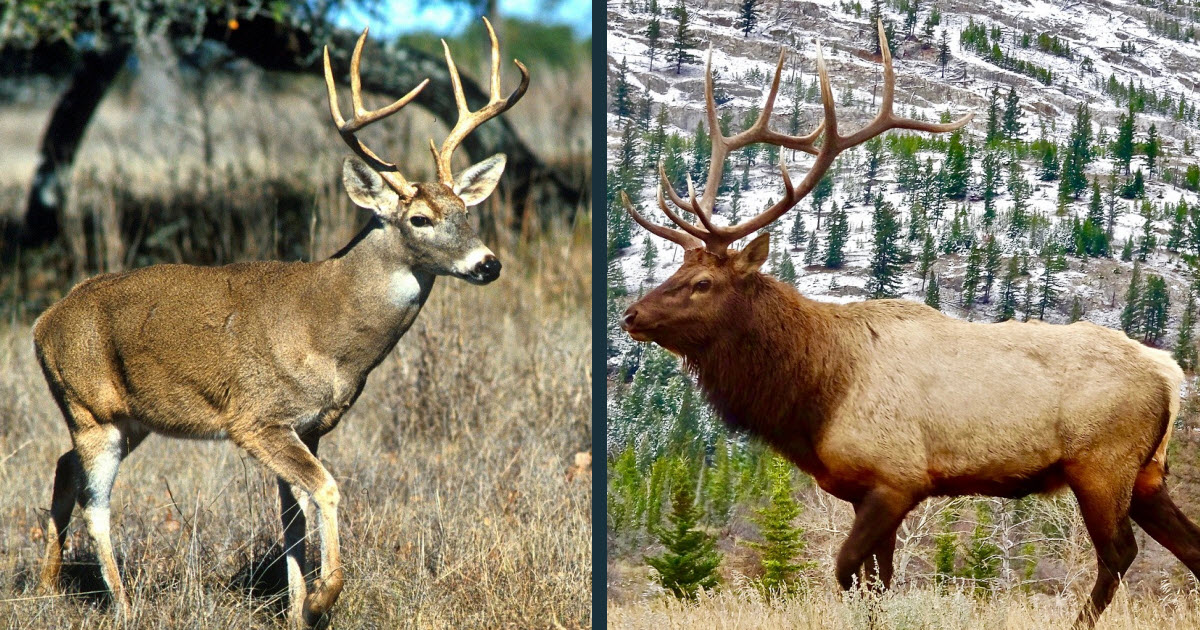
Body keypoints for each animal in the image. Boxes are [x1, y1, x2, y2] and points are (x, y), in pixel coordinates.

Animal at [32, 18, 527, 628]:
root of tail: (43, 323)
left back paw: (47, 588)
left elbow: (293, 517)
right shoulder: (256, 418)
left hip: (129, 418)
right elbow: (327, 491)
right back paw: (123, 605)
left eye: (466, 212)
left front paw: (294, 608)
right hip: (91, 408)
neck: (327, 333)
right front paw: (321, 597)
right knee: (95, 504)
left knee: (63, 468)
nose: (488, 264)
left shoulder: (308, 425)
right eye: (419, 218)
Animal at [619, 22, 1200, 628]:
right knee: (1191, 549)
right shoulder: (863, 490)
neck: (817, 395)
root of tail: (1169, 373)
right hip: (1147, 474)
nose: (631, 314)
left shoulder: (897, 478)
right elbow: (877, 582)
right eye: (676, 268)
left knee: (1119, 553)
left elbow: (848, 573)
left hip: (1101, 463)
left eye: (702, 282)